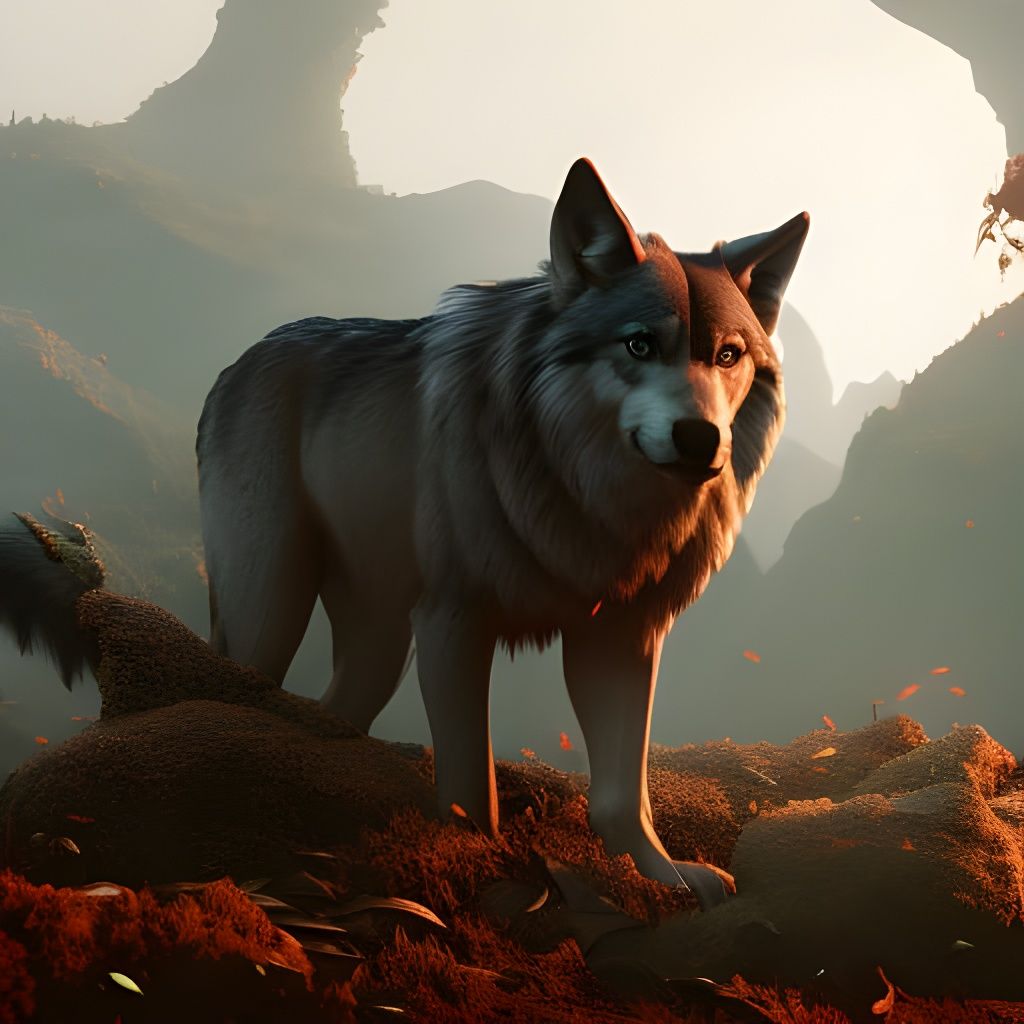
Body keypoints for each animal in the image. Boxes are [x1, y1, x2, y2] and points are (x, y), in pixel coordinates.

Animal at [196, 158, 809, 907]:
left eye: (727, 355)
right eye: (639, 343)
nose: (700, 438)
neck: (593, 495)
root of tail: (245, 355)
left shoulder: (622, 636)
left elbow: (622, 791)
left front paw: (660, 876)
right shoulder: (453, 622)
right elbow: (471, 783)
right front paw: (484, 873)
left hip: (376, 639)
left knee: (334, 708)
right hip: (272, 605)